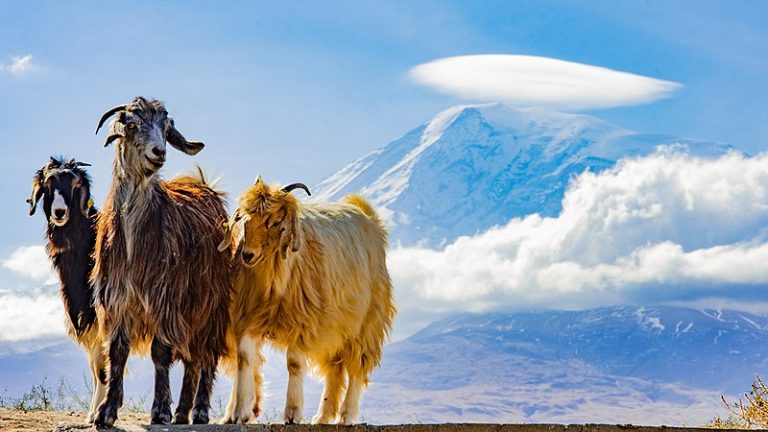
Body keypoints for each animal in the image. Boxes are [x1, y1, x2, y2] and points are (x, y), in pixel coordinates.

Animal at [27, 157, 106, 423]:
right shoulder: (90, 323)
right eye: (47, 184)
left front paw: (99, 415)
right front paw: (92, 414)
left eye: (75, 185)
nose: (59, 212)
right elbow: (97, 369)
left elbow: (103, 371)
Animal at [92, 97, 232, 427]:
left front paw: (160, 411)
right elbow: (118, 351)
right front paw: (106, 411)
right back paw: (182, 413)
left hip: (213, 304)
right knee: (192, 358)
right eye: (131, 124)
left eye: (166, 129)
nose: (159, 152)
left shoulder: (166, 299)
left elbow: (161, 352)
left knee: (206, 354)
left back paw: (199, 411)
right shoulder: (117, 298)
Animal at [218, 178, 396, 424]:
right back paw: (323, 416)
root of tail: (367, 215)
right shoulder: (247, 319)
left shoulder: (303, 322)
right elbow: (244, 360)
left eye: (274, 222)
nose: (247, 255)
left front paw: (292, 413)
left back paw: (345, 415)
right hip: (336, 330)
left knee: (357, 367)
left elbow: (294, 363)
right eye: (245, 221)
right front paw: (239, 413)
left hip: (366, 324)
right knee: (335, 369)